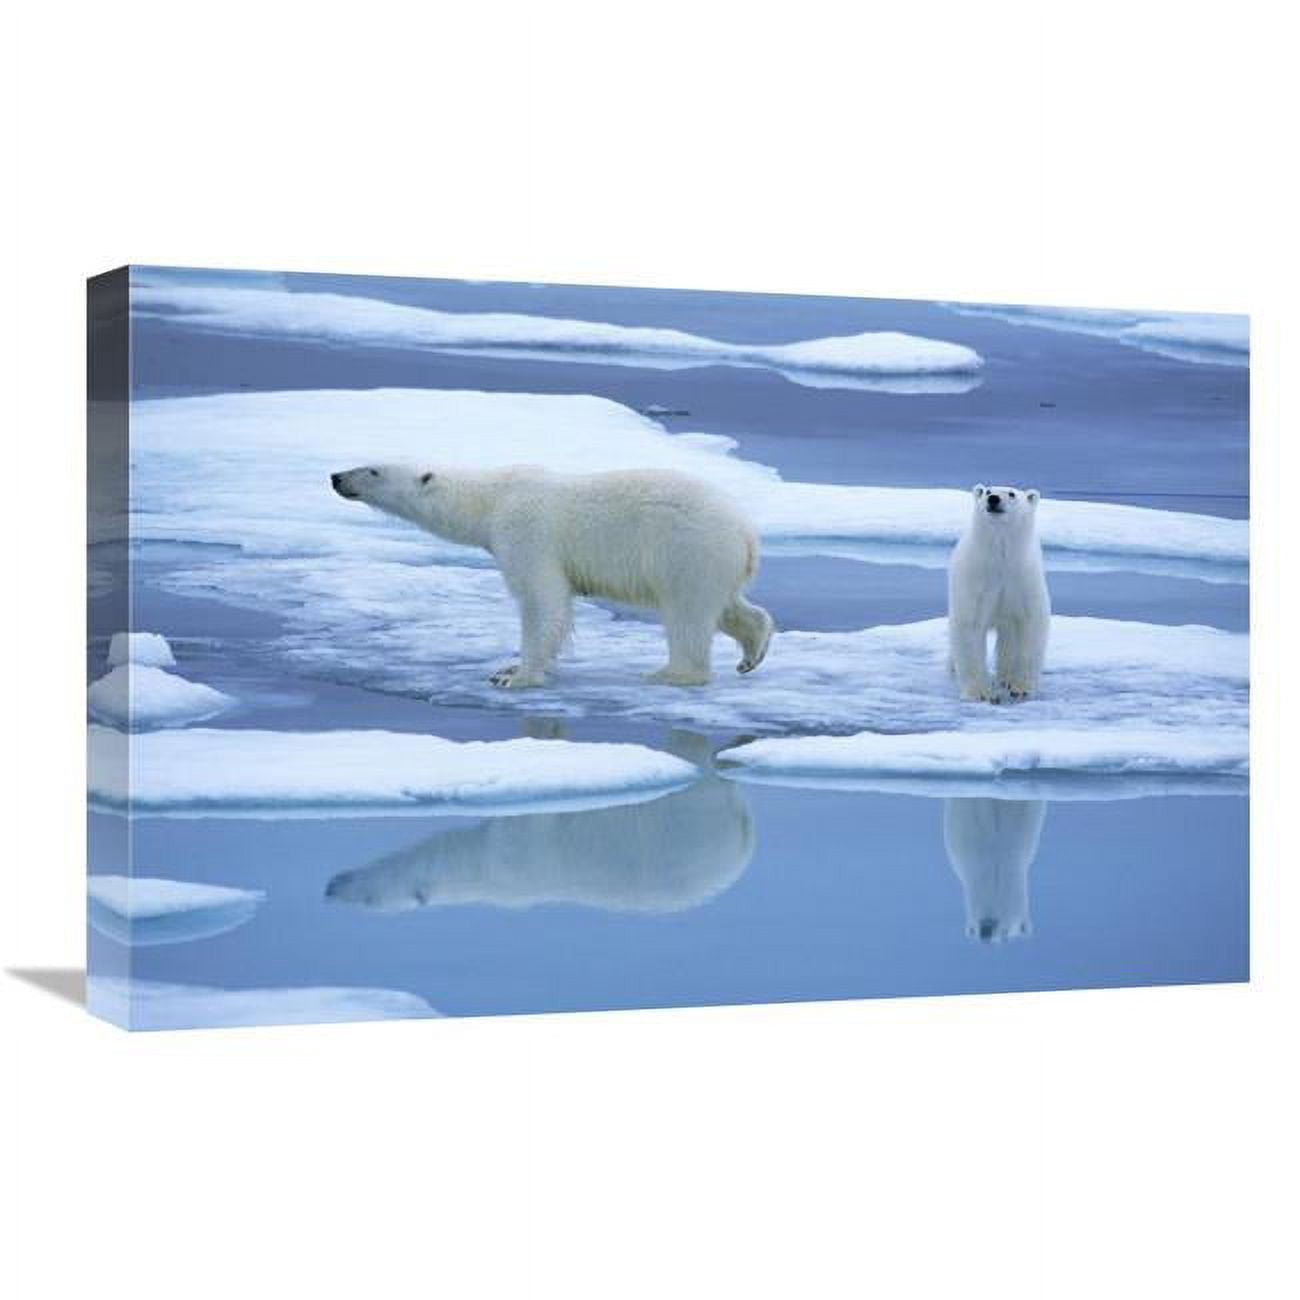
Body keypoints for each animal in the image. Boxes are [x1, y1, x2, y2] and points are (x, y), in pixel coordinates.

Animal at [331, 462, 774, 688]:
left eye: (372, 470)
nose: (336, 477)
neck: (491, 499)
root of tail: (746, 532)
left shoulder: (525, 532)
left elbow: (542, 602)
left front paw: (517, 676)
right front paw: (508, 668)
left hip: (687, 549)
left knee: (687, 613)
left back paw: (672, 673)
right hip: (714, 559)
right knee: (727, 606)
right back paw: (751, 653)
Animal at [948, 483, 1050, 702]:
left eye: (1012, 494)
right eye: (987, 491)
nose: (993, 499)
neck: (1000, 560)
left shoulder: (1023, 581)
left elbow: (1030, 625)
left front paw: (1020, 688)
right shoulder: (976, 581)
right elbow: (969, 625)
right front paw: (980, 693)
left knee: (1009, 640)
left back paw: (1005, 678)